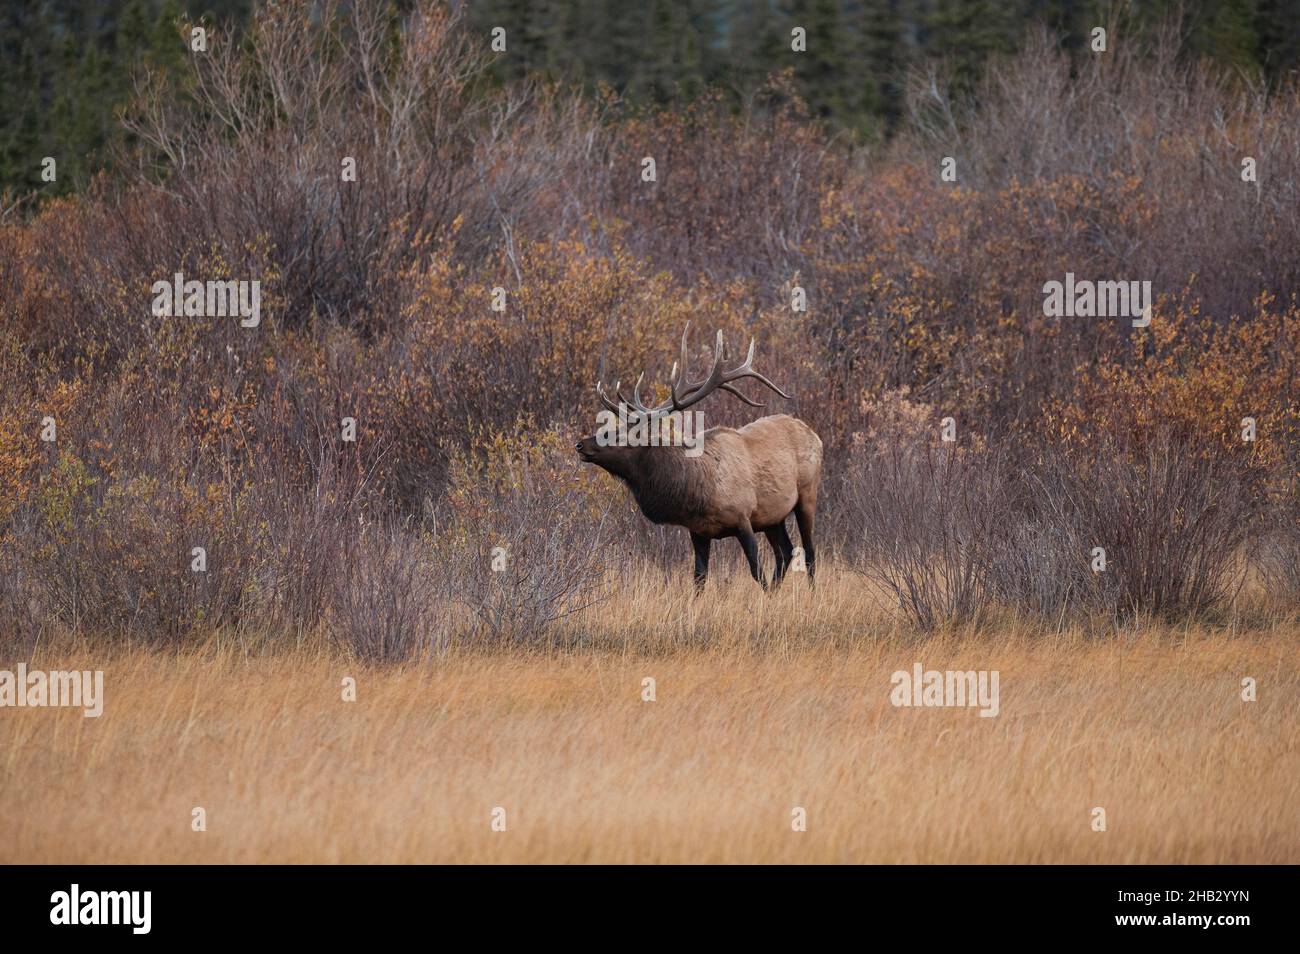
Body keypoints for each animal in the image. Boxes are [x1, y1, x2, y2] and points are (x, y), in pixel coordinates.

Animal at [576, 325, 822, 591]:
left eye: (618, 435)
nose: (580, 444)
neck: (698, 490)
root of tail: (815, 435)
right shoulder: (699, 531)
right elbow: (699, 577)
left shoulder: (743, 517)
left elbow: (756, 571)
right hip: (772, 517)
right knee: (785, 552)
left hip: (807, 494)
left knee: (808, 552)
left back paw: (810, 592)